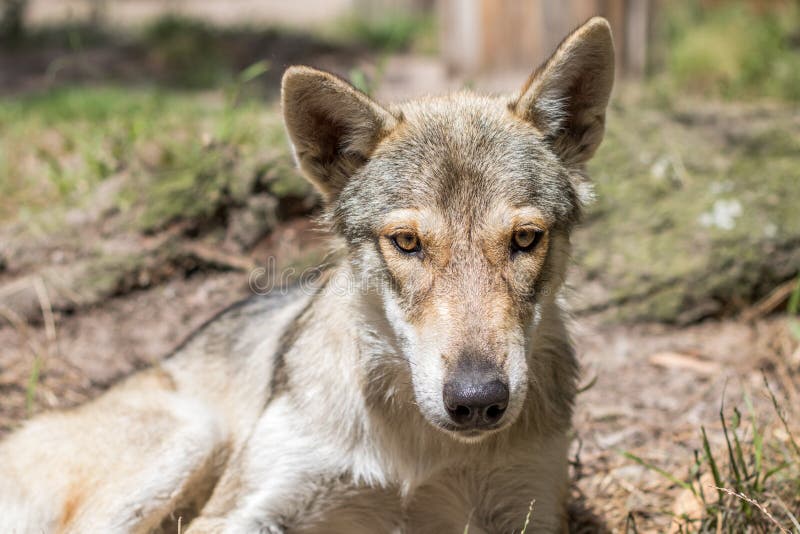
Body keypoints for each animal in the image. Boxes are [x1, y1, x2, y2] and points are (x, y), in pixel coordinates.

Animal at [0, 17, 614, 533]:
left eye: (525, 240)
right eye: (407, 243)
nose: (477, 400)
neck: (417, 453)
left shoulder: (530, 514)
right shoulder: (241, 514)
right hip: (191, 439)